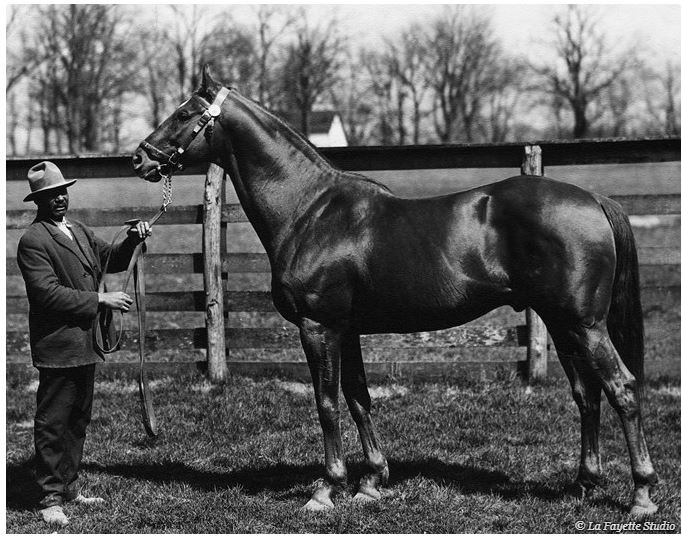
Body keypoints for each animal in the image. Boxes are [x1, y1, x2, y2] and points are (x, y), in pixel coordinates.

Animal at [132, 66, 658, 516]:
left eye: (184, 113)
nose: (140, 157)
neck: (310, 211)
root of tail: (593, 199)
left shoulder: (317, 327)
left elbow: (326, 403)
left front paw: (327, 489)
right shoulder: (347, 330)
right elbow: (359, 398)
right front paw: (370, 482)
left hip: (584, 324)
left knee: (622, 388)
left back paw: (642, 493)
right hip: (562, 322)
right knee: (587, 394)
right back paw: (584, 483)